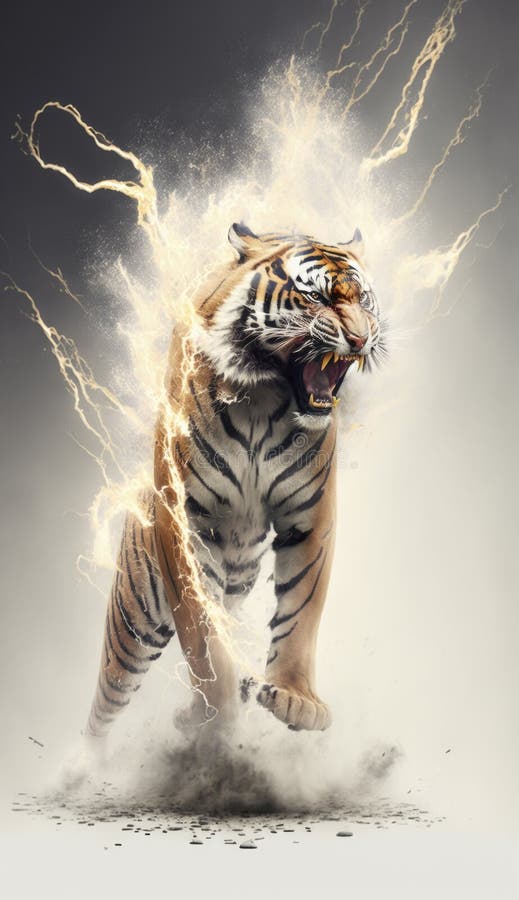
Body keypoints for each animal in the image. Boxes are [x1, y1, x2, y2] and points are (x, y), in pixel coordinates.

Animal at [85, 223, 384, 741]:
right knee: (105, 708)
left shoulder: (311, 516)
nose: (360, 337)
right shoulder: (185, 519)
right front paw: (219, 709)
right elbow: (201, 634)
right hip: (135, 618)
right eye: (316, 298)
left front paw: (295, 698)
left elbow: (302, 610)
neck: (265, 400)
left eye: (363, 299)